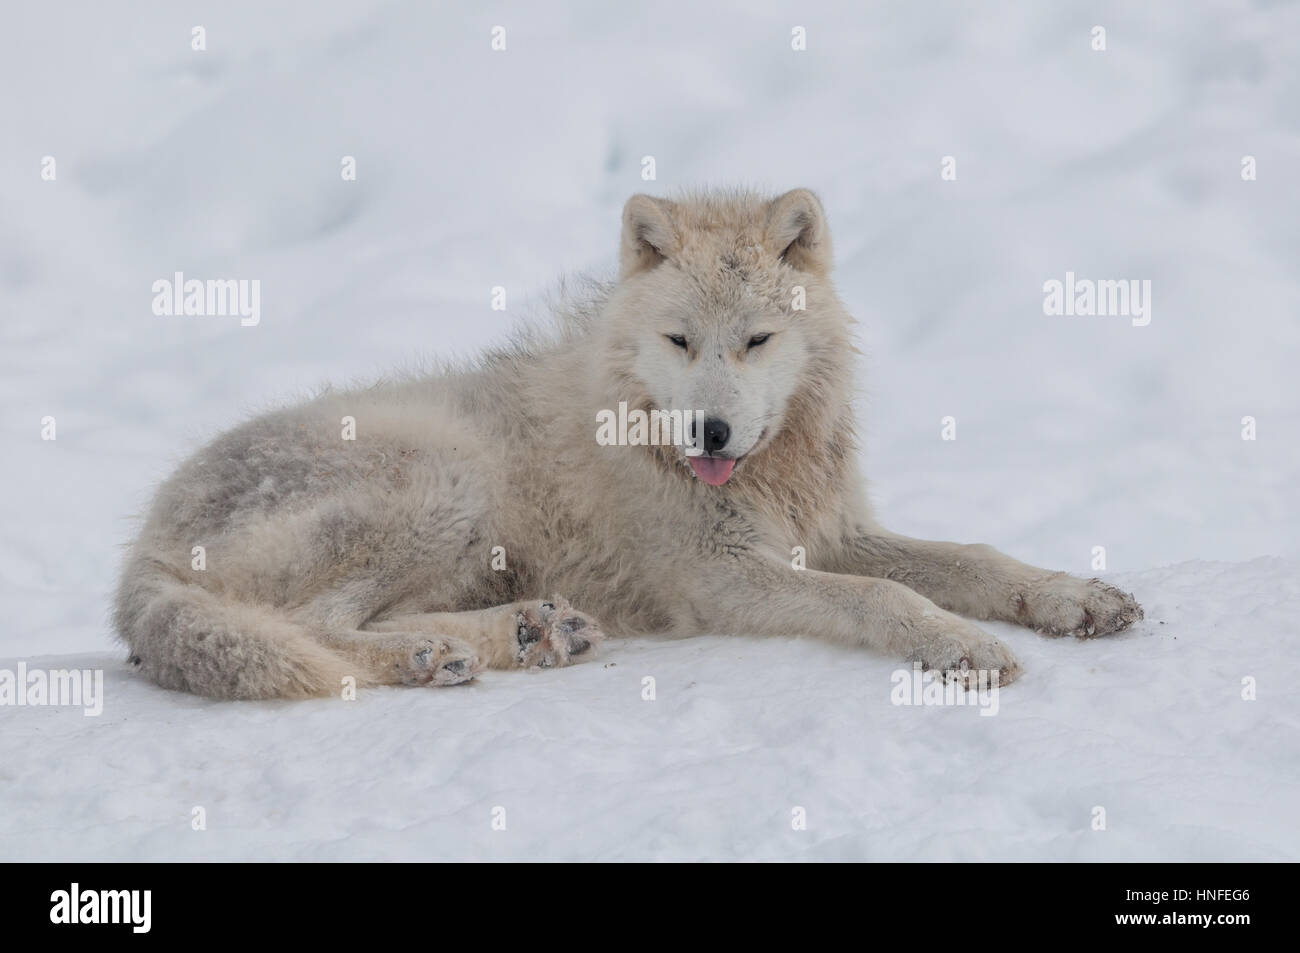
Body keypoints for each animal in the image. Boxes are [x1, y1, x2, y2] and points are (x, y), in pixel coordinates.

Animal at [113, 188, 1142, 699]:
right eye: (679, 340)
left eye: (756, 339)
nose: (709, 431)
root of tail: (142, 555)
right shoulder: (719, 574)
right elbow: (882, 594)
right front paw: (958, 646)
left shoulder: (831, 531)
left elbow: (971, 556)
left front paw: (1072, 597)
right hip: (446, 481)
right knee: (317, 628)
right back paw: (455, 652)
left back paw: (529, 632)